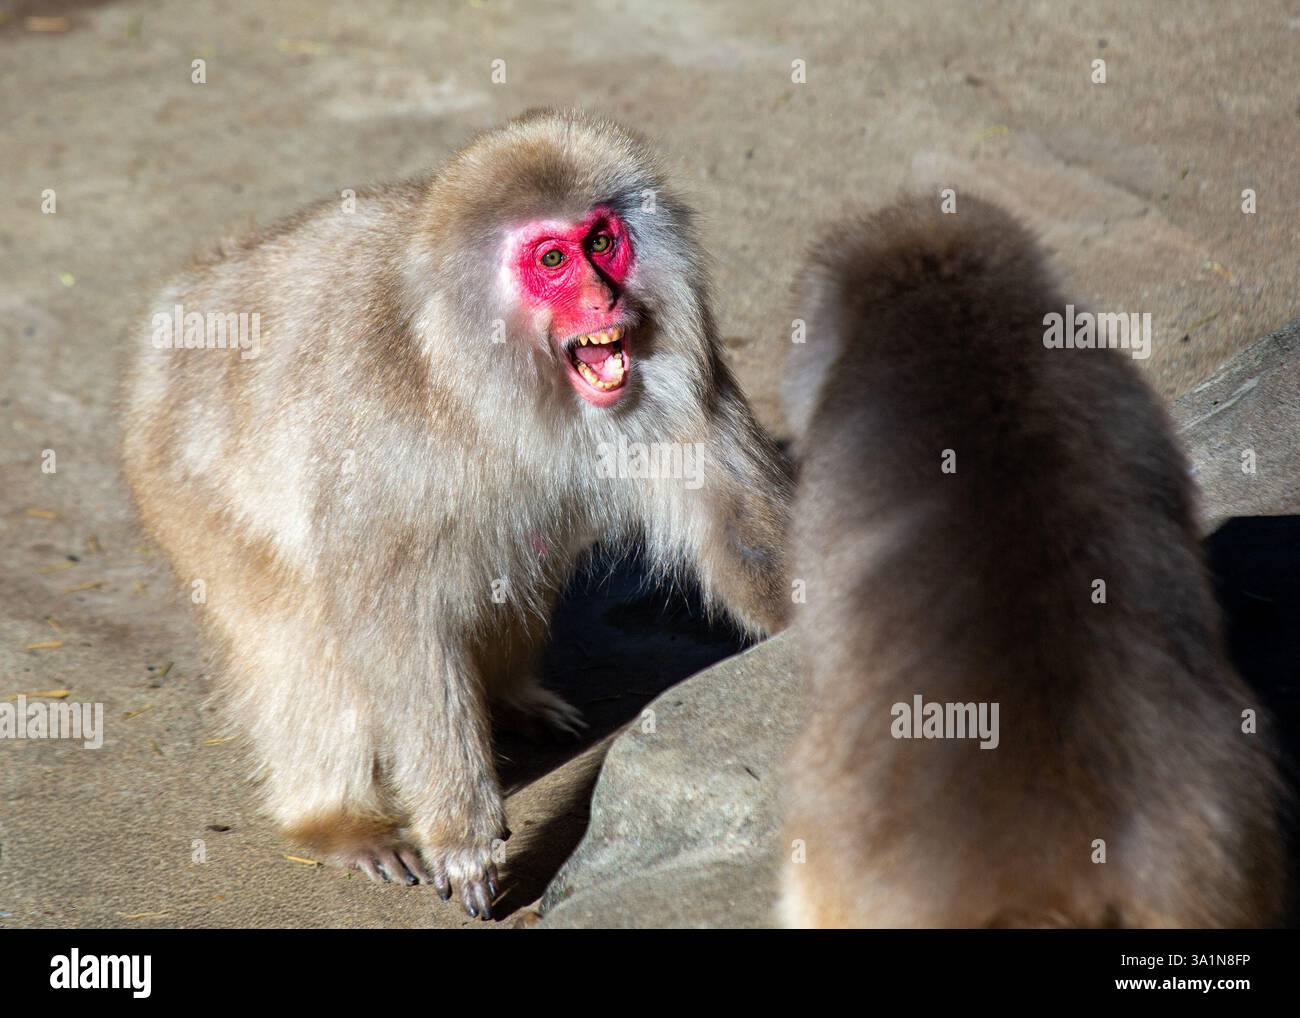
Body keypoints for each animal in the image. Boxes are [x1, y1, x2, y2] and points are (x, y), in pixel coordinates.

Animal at [121, 109, 790, 920]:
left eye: (602, 242)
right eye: (553, 259)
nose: (604, 302)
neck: (485, 376)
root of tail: (180, 303)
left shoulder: (681, 371)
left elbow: (740, 532)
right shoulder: (388, 436)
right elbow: (395, 624)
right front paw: (459, 831)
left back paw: (508, 696)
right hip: (186, 481)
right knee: (297, 630)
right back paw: (335, 819)